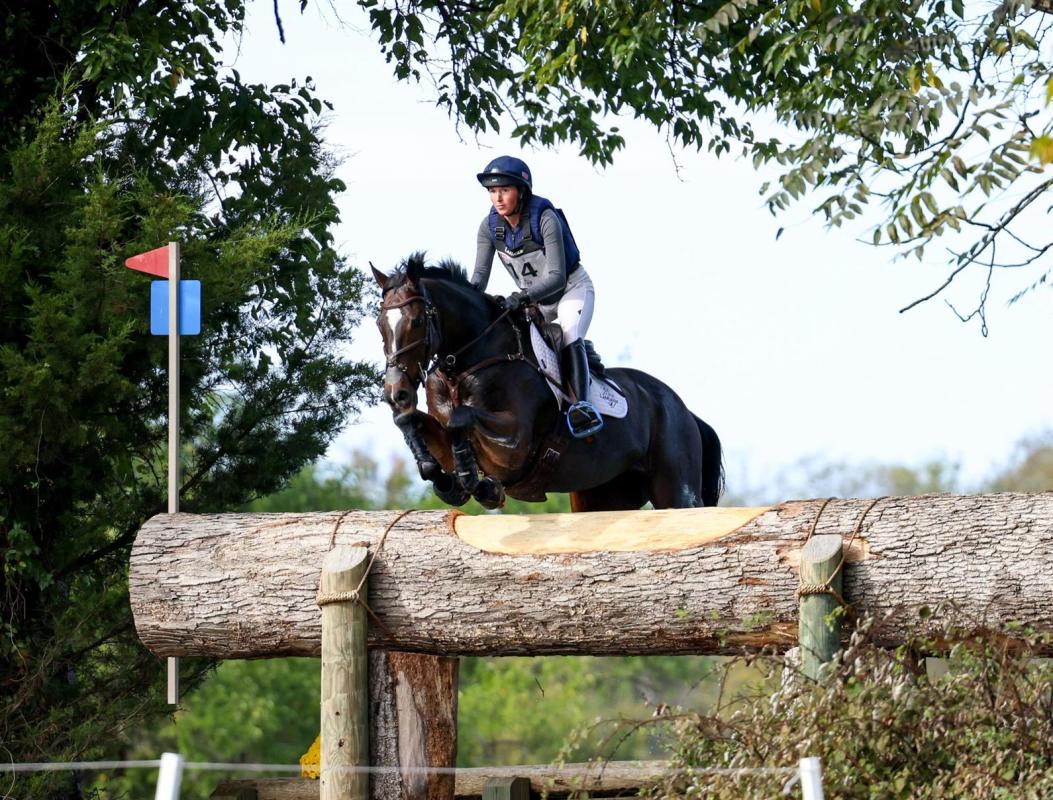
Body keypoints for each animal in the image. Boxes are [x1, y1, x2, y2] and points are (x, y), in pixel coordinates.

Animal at [372, 254, 723, 511]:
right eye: (379, 324)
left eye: (418, 321)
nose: (396, 392)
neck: (465, 365)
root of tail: (686, 412)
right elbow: (410, 422)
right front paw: (448, 482)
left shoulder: (515, 442)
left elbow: (462, 419)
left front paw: (481, 485)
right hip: (602, 495)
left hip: (677, 491)